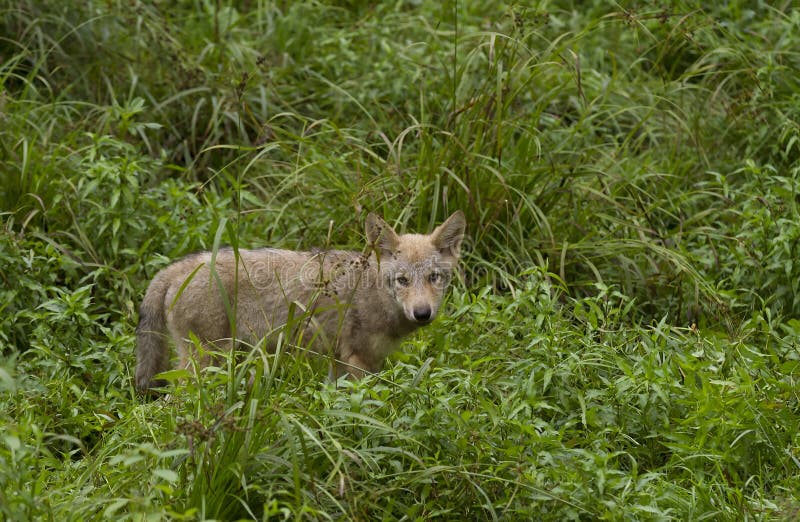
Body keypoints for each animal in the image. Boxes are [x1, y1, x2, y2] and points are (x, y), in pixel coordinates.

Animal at [135, 211, 466, 392]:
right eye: (403, 280)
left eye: (434, 277)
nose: (422, 313)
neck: (375, 295)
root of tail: (177, 267)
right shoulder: (359, 362)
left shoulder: (340, 362)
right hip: (206, 364)